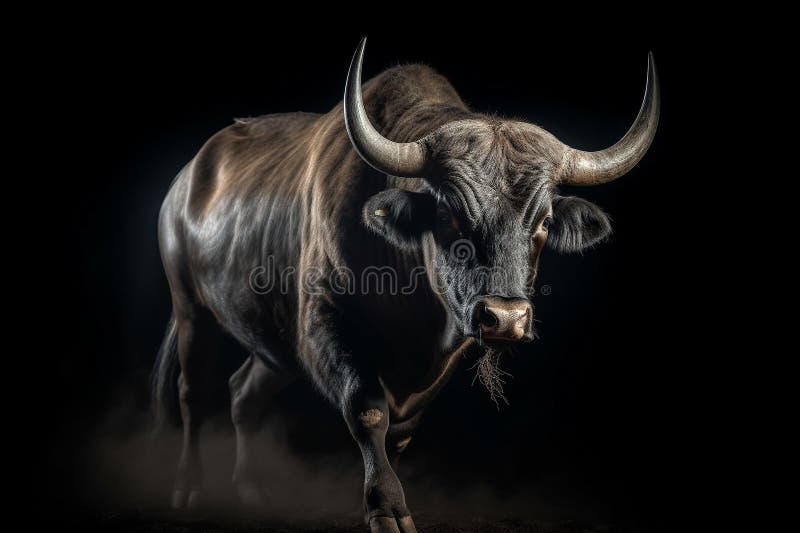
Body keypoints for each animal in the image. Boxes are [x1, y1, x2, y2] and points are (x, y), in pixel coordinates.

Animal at [151, 38, 659, 532]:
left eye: (545, 222)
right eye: (449, 215)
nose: (505, 318)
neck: (413, 313)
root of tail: (187, 178)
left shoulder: (444, 352)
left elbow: (400, 432)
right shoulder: (324, 324)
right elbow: (368, 409)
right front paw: (387, 508)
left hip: (271, 339)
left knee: (243, 395)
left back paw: (251, 490)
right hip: (190, 307)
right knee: (193, 391)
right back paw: (189, 487)